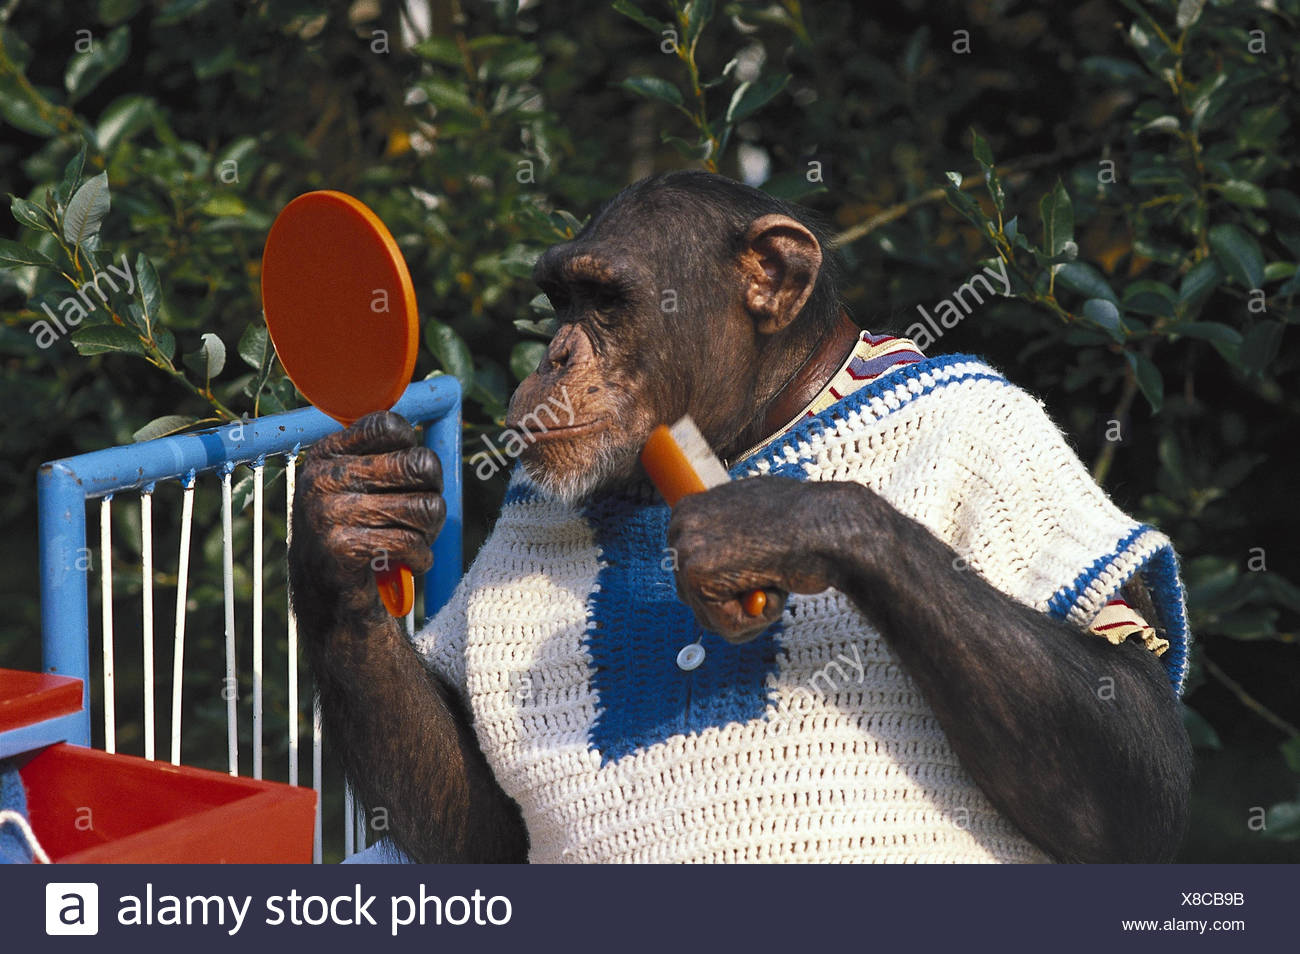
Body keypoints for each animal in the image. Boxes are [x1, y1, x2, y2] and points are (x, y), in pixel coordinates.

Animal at [289, 170, 1192, 864]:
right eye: (560, 300)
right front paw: (347, 524)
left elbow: (1130, 748)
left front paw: (787, 520)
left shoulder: (1005, 444)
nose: (555, 355)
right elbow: (478, 829)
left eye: (605, 302)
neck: (767, 420)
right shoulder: (527, 511)